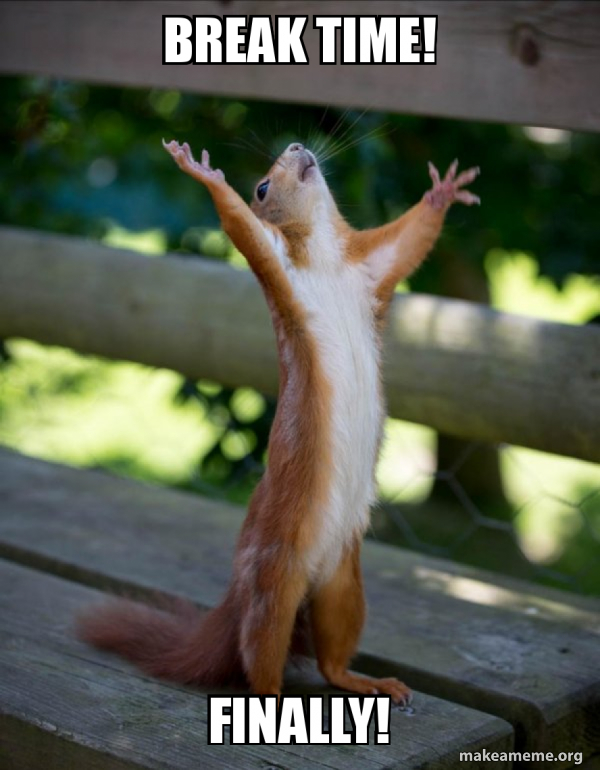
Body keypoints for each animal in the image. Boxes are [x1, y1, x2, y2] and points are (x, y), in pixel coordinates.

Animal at [77, 138, 479, 704]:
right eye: (262, 187)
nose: (296, 146)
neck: (327, 258)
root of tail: (238, 595)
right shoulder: (277, 264)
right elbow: (240, 226)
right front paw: (203, 173)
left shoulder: (372, 267)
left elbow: (410, 239)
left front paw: (442, 192)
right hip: (273, 583)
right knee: (258, 657)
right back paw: (275, 696)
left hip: (344, 585)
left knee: (332, 657)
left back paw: (367, 680)